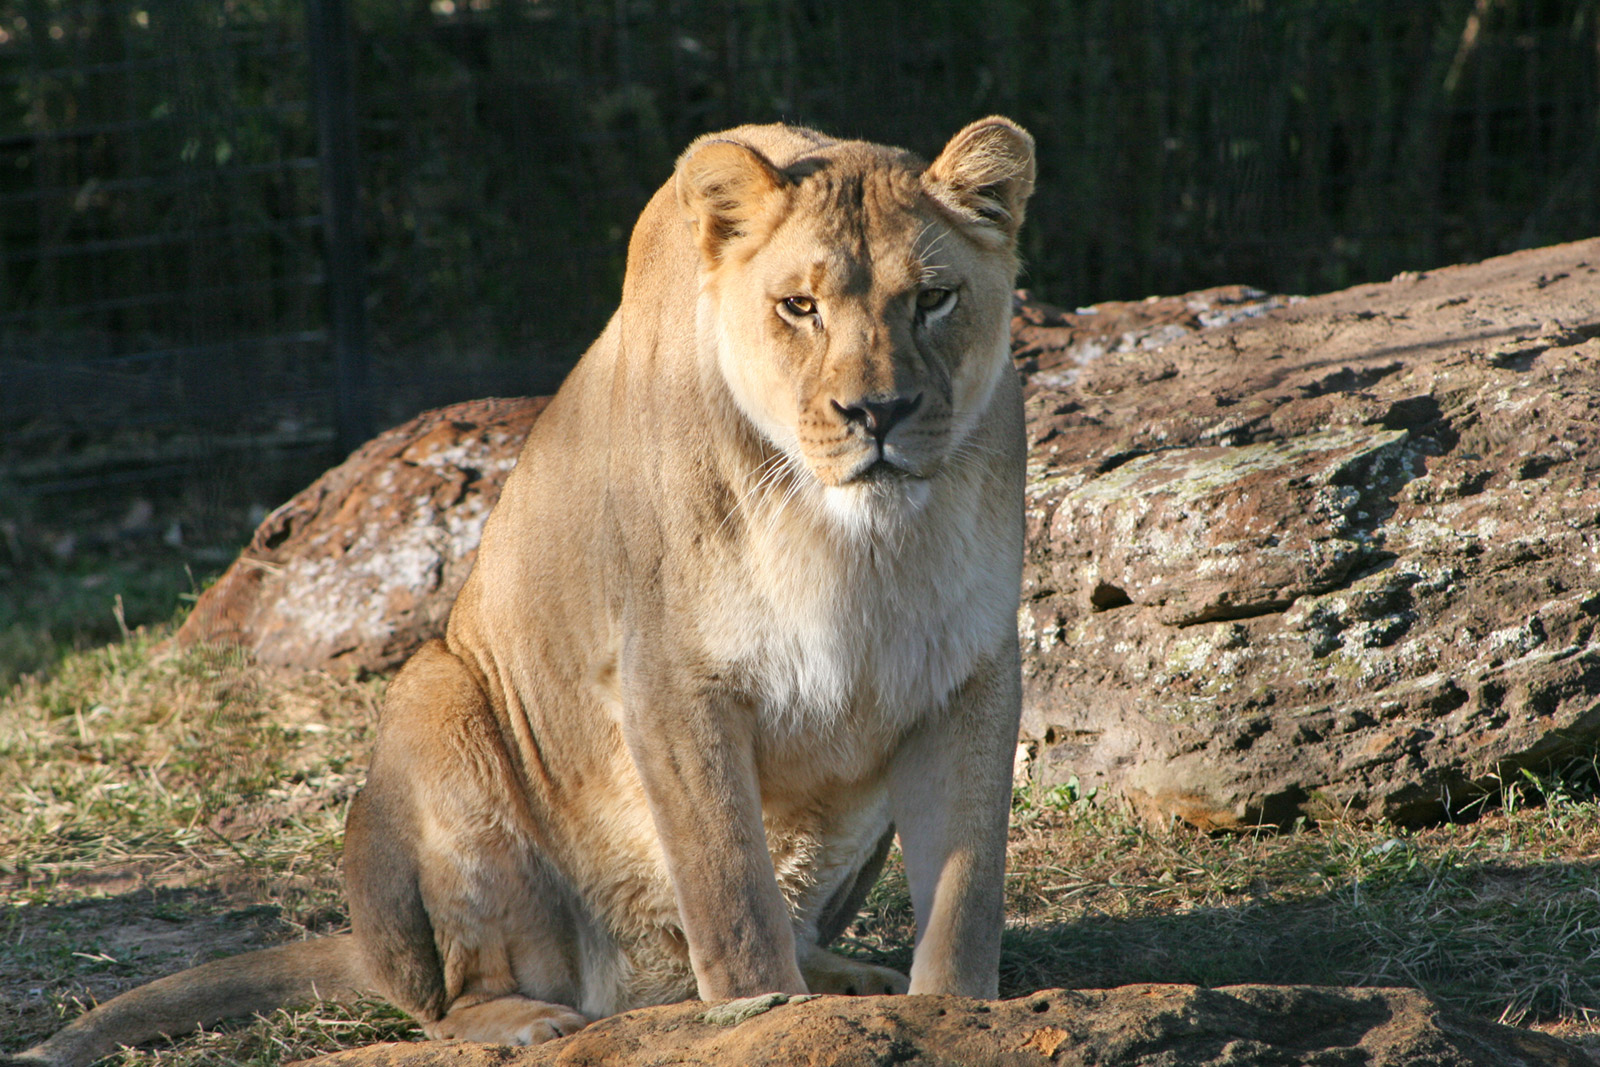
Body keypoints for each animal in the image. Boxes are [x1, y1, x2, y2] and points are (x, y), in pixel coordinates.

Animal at [8, 116, 1034, 1066]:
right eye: (798, 305)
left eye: (933, 299)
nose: (879, 412)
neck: (856, 536)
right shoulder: (672, 680)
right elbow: (733, 892)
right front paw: (763, 1016)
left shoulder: (974, 665)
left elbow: (968, 883)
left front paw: (952, 1010)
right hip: (436, 697)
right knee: (456, 995)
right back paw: (528, 1020)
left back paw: (850, 975)